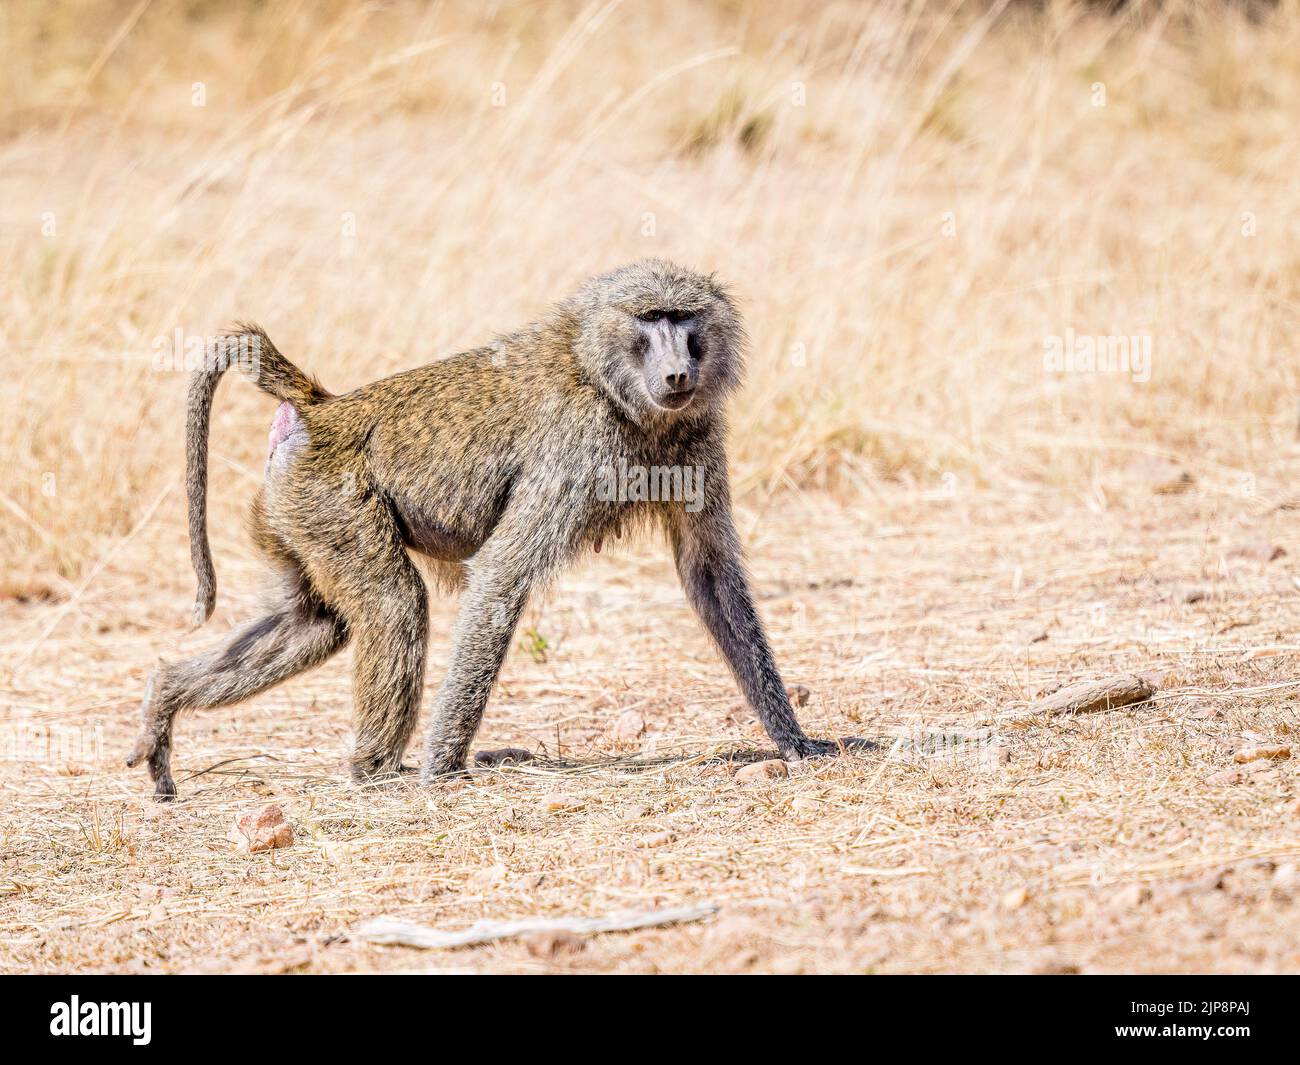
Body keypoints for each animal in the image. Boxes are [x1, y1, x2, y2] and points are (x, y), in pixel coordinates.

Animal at [127, 259, 851, 799]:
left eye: (684, 318)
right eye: (650, 319)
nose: (677, 372)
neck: (606, 380)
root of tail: (324, 410)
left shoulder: (696, 438)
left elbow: (711, 576)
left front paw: (795, 740)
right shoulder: (574, 448)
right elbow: (502, 575)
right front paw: (442, 765)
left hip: (294, 510)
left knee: (316, 623)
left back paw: (166, 702)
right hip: (329, 499)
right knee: (393, 606)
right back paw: (376, 770)